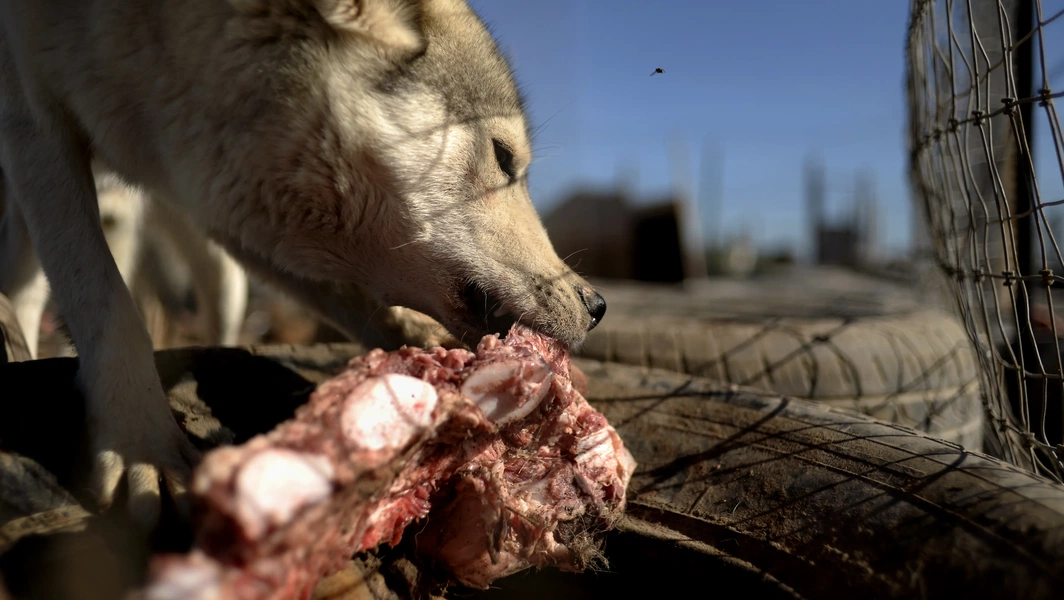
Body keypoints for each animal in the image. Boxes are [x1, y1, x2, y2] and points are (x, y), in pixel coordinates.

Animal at [0, 0, 606, 529]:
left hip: (217, 268)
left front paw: (427, 343)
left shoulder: (233, 209)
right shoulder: (34, 120)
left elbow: (366, 306)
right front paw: (141, 443)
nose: (598, 305)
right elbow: (104, 301)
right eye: (505, 158)